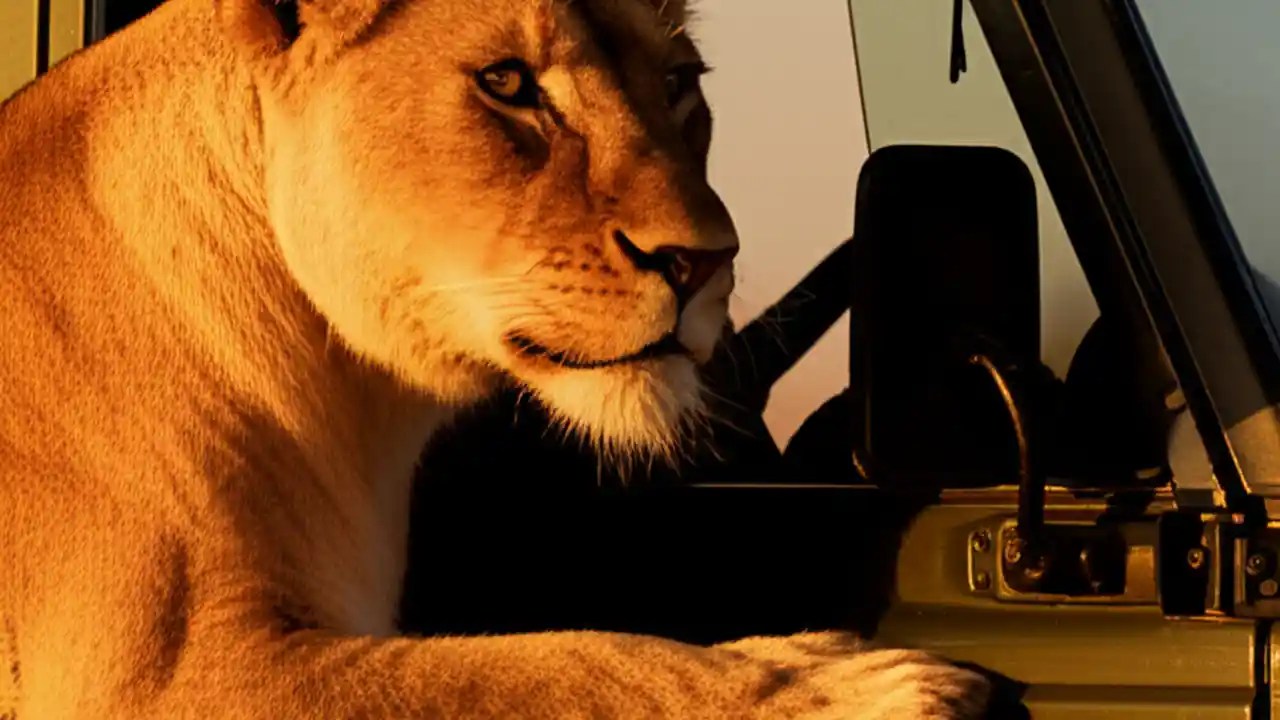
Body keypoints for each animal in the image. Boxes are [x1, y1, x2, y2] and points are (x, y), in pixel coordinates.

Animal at [0, 0, 991, 717]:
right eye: (507, 81)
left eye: (678, 83)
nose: (704, 262)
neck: (356, 406)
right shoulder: (163, 681)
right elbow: (554, 664)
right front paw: (833, 682)